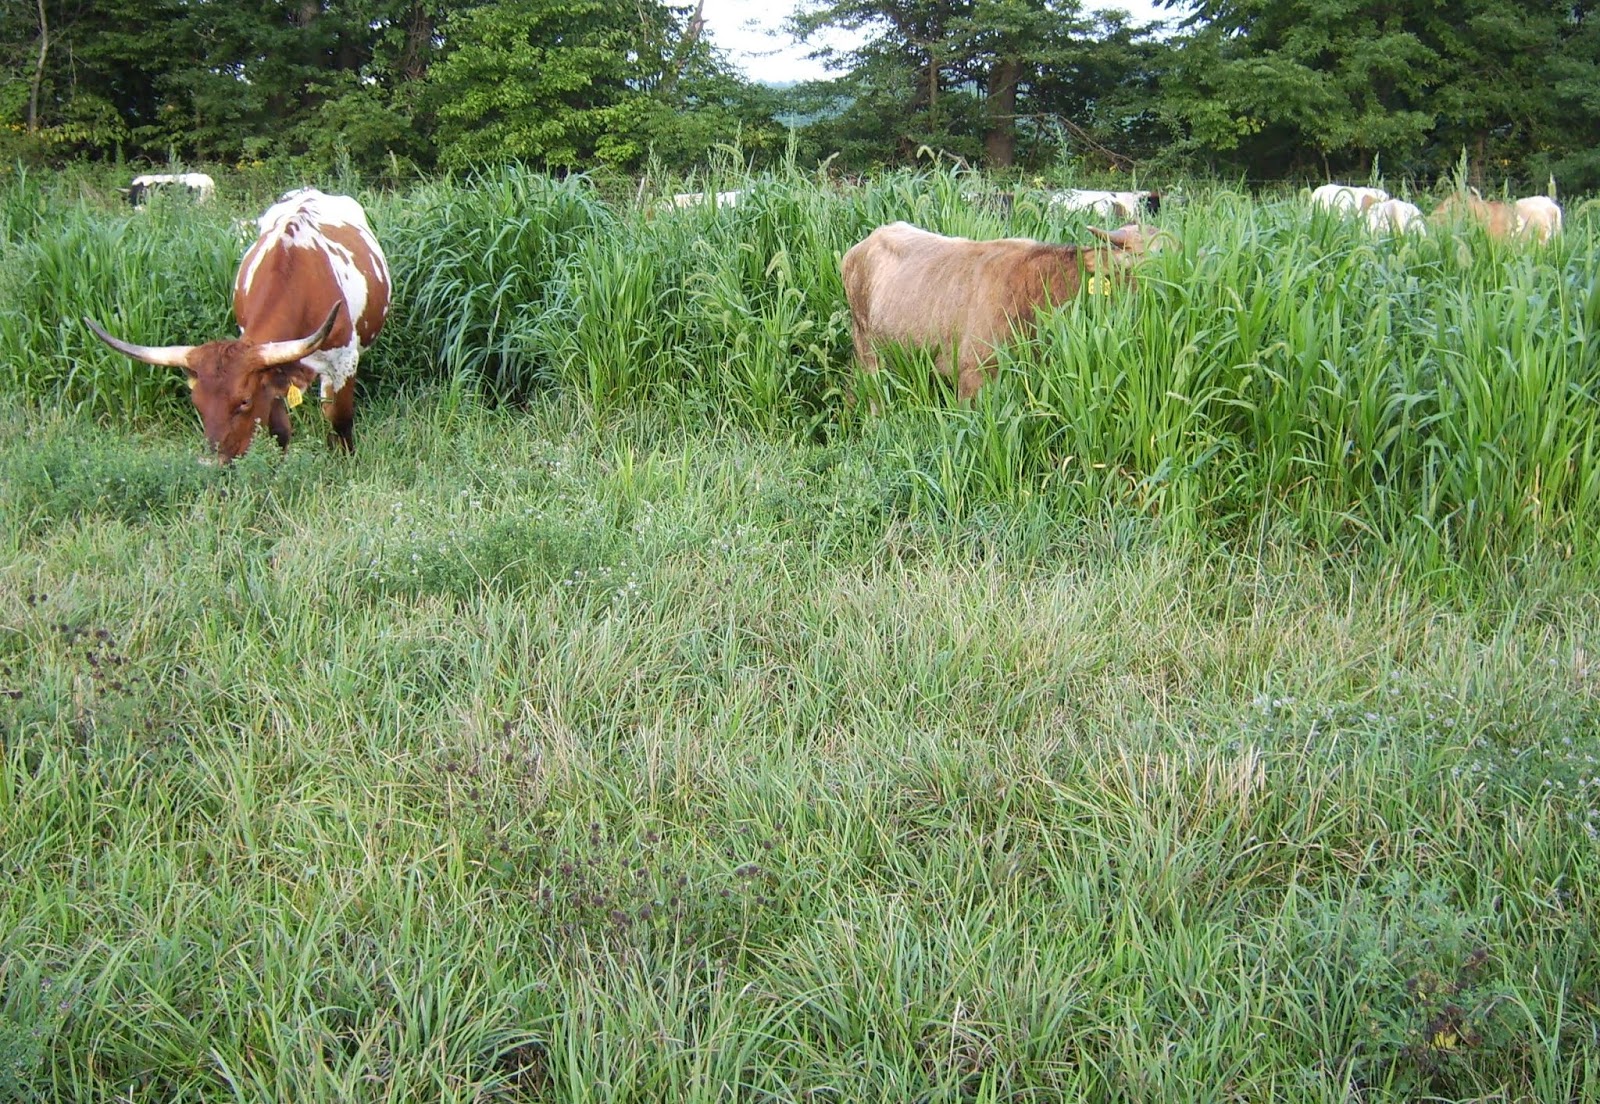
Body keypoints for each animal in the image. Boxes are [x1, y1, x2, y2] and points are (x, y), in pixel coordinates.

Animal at [85, 188, 390, 462]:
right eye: (197, 403)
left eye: (244, 401)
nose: (214, 462)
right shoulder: (271, 372)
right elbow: (279, 429)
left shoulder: (344, 361)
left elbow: (340, 421)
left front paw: (345, 463)